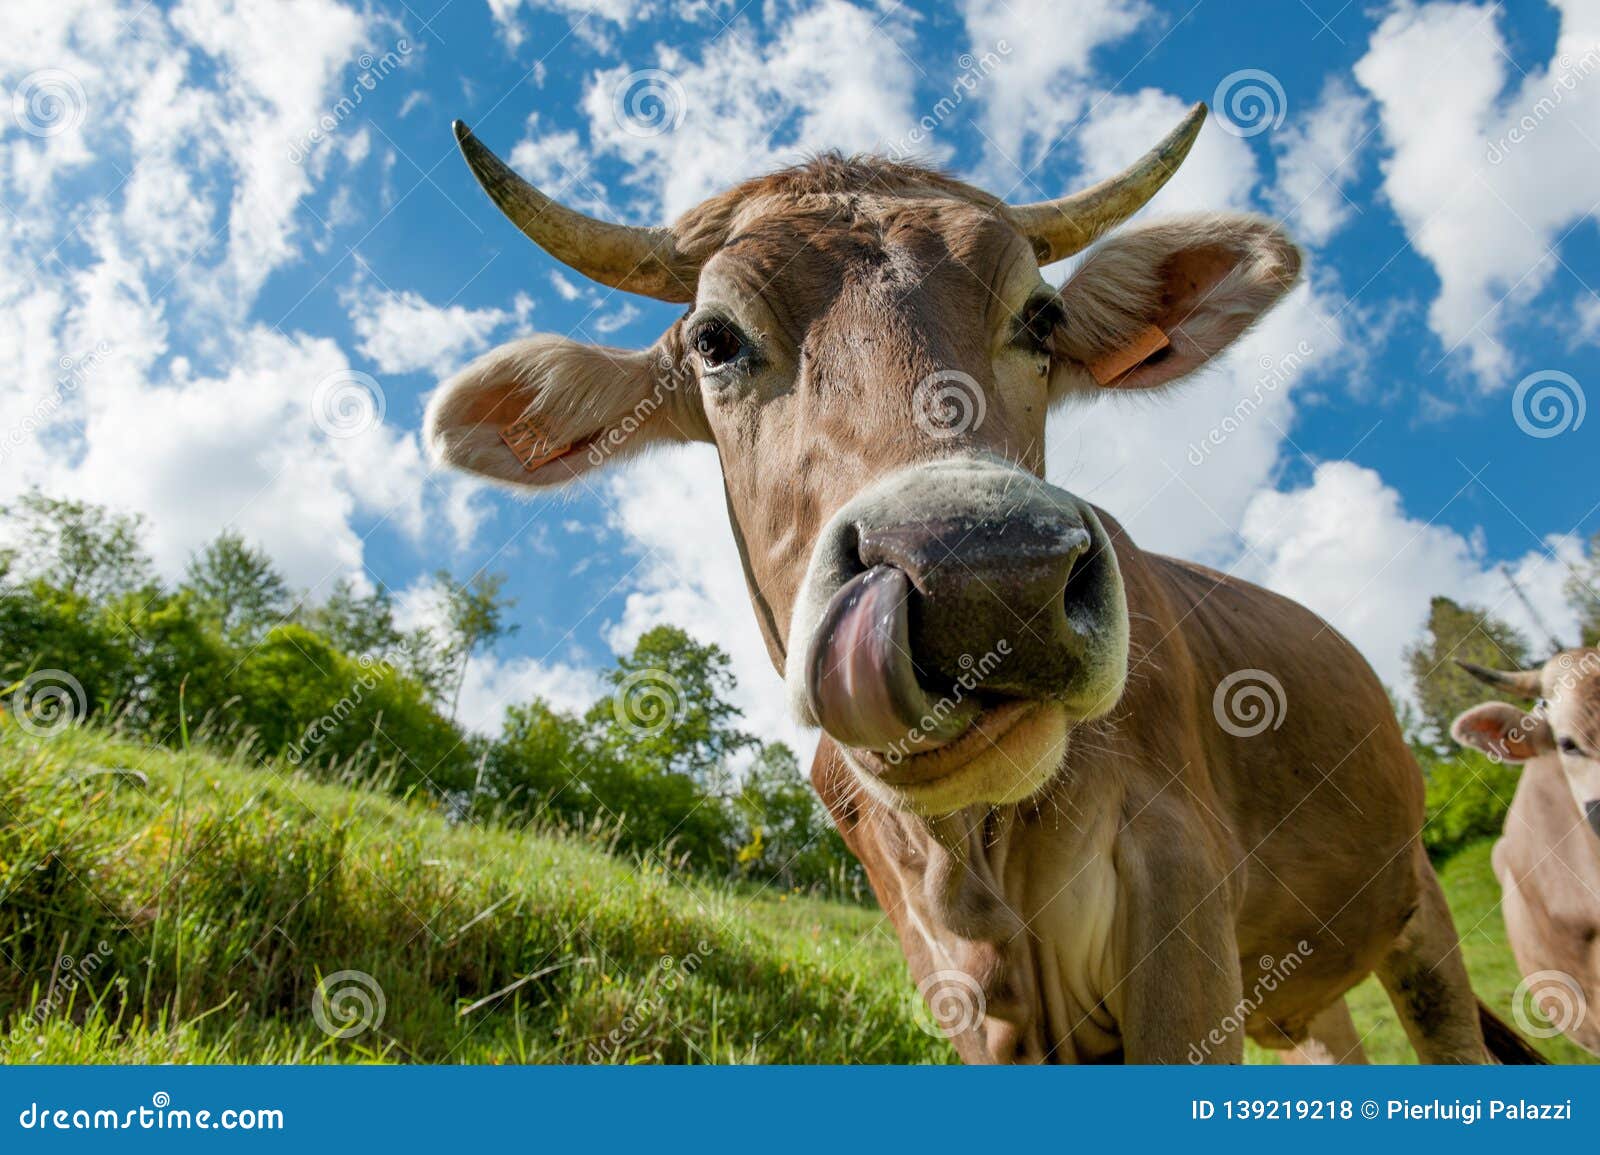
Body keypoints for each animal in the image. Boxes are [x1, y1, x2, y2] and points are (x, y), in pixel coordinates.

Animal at [425, 103, 1540, 1063]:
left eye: (1041, 319)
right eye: (714, 339)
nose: (986, 576)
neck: (969, 863)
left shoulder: (1180, 909)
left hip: (1415, 907)